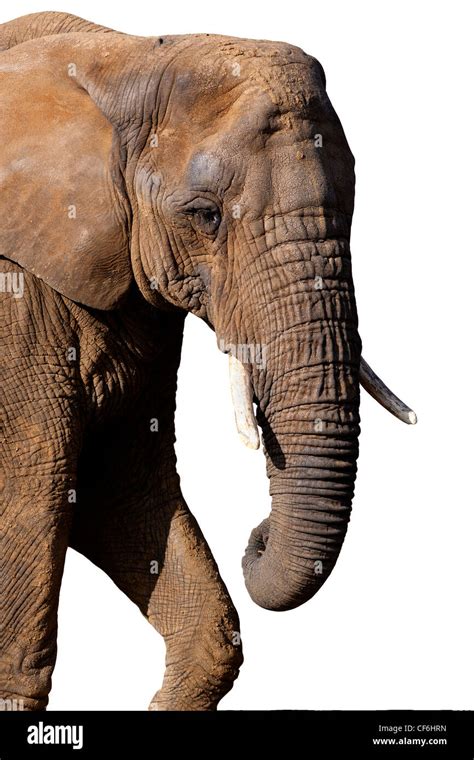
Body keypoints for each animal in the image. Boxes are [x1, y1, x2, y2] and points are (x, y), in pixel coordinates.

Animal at [0, 12, 416, 711]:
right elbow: (34, 490)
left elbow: (117, 483)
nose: (256, 535)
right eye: (205, 215)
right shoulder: (14, 302)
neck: (120, 58)